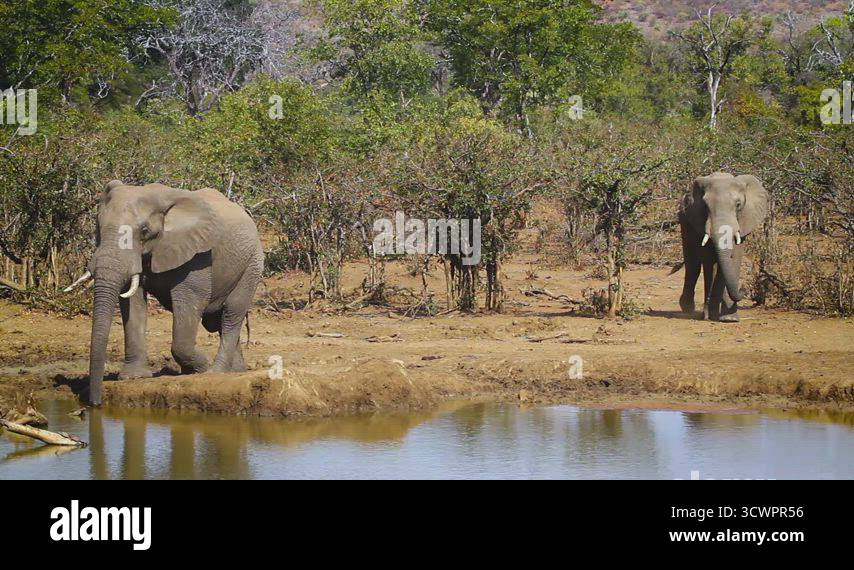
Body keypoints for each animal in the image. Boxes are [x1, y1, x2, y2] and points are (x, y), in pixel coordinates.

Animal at [66, 180, 264, 405]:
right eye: (98, 226)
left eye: (144, 230)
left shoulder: (198, 254)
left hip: (252, 264)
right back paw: (235, 371)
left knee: (231, 314)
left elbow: (191, 301)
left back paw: (216, 372)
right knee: (217, 321)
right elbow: (133, 303)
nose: (95, 403)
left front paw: (201, 367)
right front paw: (134, 376)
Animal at [677, 172, 768, 322]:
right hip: (684, 220)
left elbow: (734, 258)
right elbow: (709, 261)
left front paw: (729, 319)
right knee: (692, 263)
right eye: (705, 206)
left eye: (738, 205)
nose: (744, 288)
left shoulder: (743, 221)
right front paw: (709, 316)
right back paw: (687, 309)